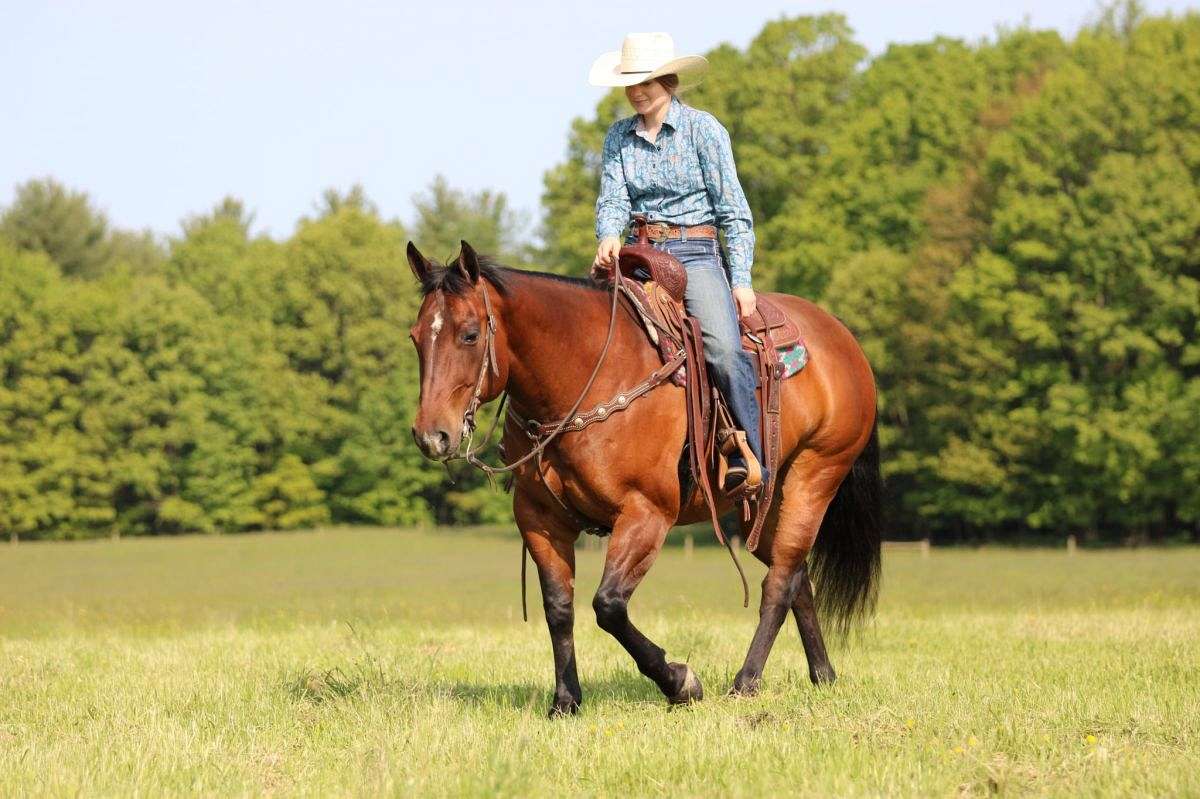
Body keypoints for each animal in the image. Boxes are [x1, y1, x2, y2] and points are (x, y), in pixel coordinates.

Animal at [408, 240, 882, 716]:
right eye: (415, 337)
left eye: (470, 334)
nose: (432, 435)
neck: (588, 374)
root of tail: (842, 338)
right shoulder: (539, 518)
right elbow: (559, 607)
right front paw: (565, 701)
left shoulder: (646, 513)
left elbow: (609, 606)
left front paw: (681, 682)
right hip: (764, 504)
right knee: (799, 576)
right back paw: (823, 675)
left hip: (814, 479)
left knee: (780, 583)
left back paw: (746, 682)